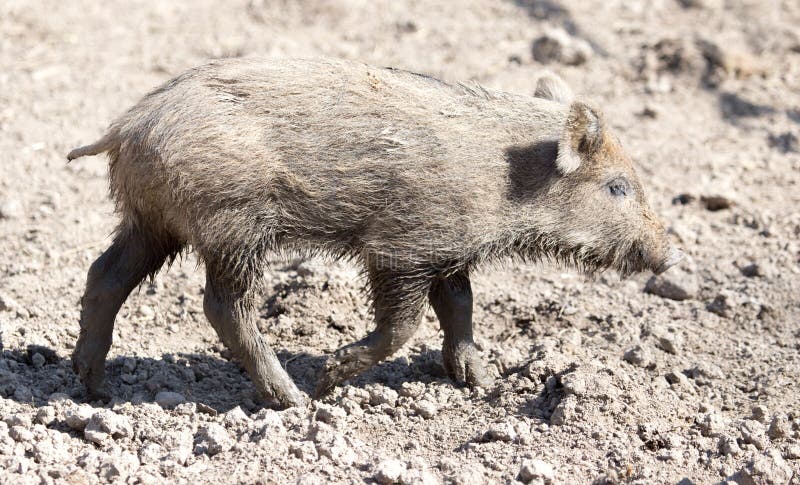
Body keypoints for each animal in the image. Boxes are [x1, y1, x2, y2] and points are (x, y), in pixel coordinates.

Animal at [67, 58, 682, 407]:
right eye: (617, 188)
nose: (672, 255)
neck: (504, 179)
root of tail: (126, 126)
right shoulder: (400, 247)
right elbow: (404, 325)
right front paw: (330, 378)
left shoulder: (448, 251)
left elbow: (460, 307)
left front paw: (480, 382)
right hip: (233, 227)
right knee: (223, 307)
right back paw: (295, 399)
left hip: (153, 222)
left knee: (105, 276)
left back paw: (94, 389)